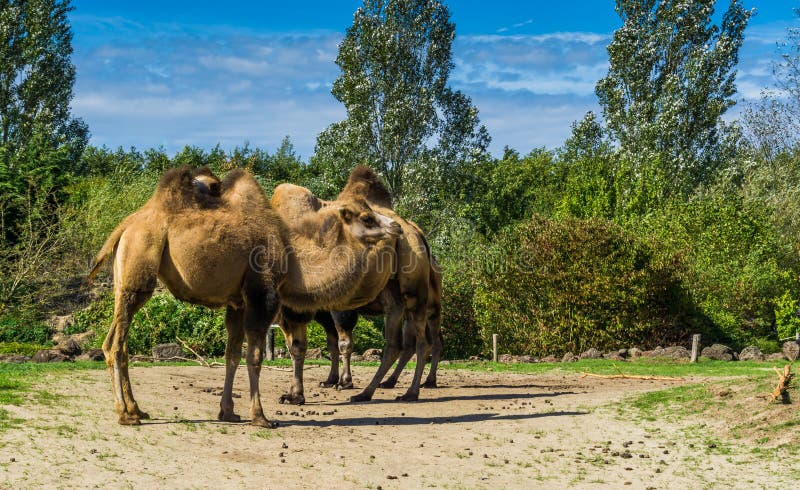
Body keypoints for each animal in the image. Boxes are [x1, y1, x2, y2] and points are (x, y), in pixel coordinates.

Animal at [88, 166, 401, 427]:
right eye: (367, 217)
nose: (396, 226)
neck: (292, 258)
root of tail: (125, 226)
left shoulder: (237, 302)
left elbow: (232, 355)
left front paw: (228, 412)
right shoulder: (261, 295)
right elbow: (255, 356)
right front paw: (261, 417)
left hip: (124, 278)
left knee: (115, 342)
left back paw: (137, 409)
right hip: (139, 264)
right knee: (116, 344)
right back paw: (126, 415)